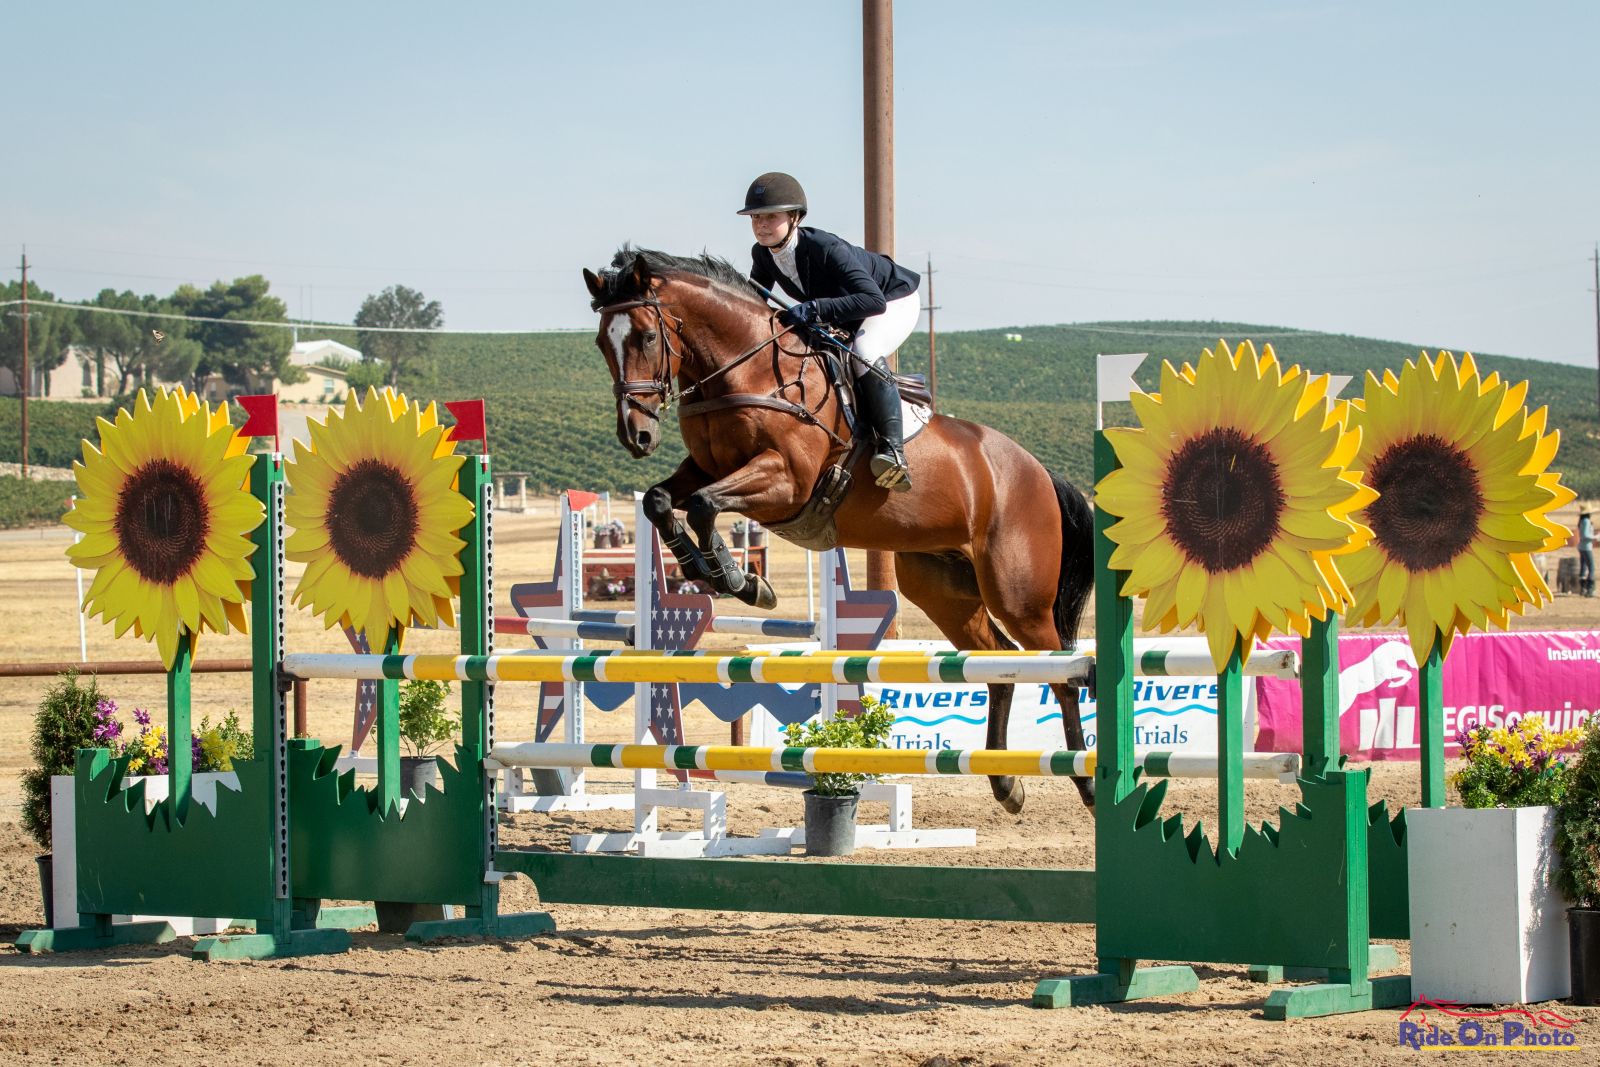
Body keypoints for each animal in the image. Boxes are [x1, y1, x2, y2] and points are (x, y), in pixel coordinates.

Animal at [582, 247, 1096, 812]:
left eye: (646, 337)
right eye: (602, 342)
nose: (637, 434)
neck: (749, 370)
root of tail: (1038, 471)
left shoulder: (786, 482)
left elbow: (701, 504)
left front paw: (739, 580)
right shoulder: (705, 468)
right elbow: (660, 500)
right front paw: (713, 571)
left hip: (1018, 594)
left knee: (1063, 673)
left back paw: (1088, 783)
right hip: (942, 588)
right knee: (999, 664)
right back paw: (1006, 784)